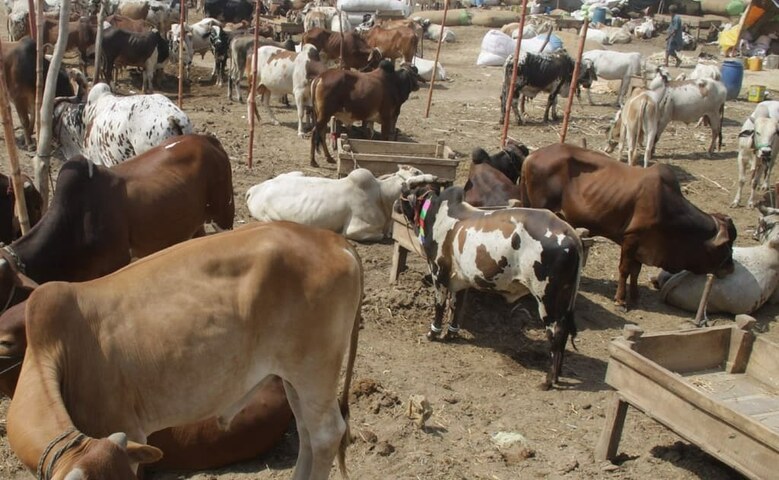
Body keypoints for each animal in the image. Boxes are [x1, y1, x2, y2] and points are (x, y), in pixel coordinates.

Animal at [246, 165, 437, 241]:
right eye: (417, 173)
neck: (382, 196)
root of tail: (255, 188)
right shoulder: (355, 230)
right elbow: (380, 236)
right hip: (270, 218)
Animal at [395, 184, 583, 389]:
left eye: (404, 194)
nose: (396, 203)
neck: (438, 215)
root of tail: (570, 233)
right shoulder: (461, 280)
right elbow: (456, 307)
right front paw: (451, 333)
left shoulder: (439, 274)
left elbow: (439, 306)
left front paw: (433, 333)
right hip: (564, 299)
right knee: (564, 333)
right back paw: (557, 376)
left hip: (547, 299)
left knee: (556, 334)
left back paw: (548, 380)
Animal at [519, 143, 737, 310]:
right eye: (725, 246)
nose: (730, 268)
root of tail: (532, 156)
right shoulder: (631, 238)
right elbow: (625, 269)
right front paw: (621, 300)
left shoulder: (642, 245)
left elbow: (635, 271)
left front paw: (635, 296)